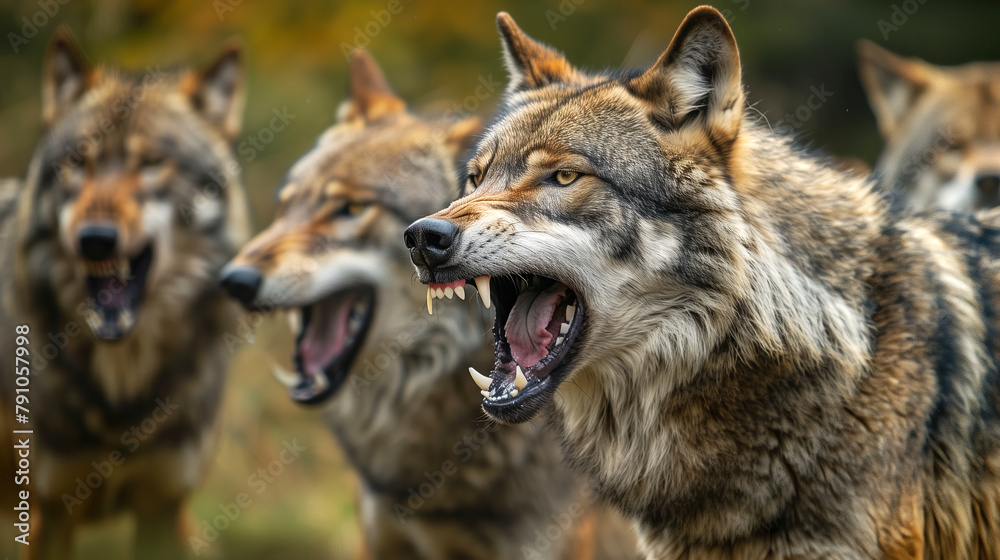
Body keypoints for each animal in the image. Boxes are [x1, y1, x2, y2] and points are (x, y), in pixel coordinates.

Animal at [0, 28, 250, 559]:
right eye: (78, 163)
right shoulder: (51, 513)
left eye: (152, 163)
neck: (122, 391)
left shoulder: (163, 508)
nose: (95, 239)